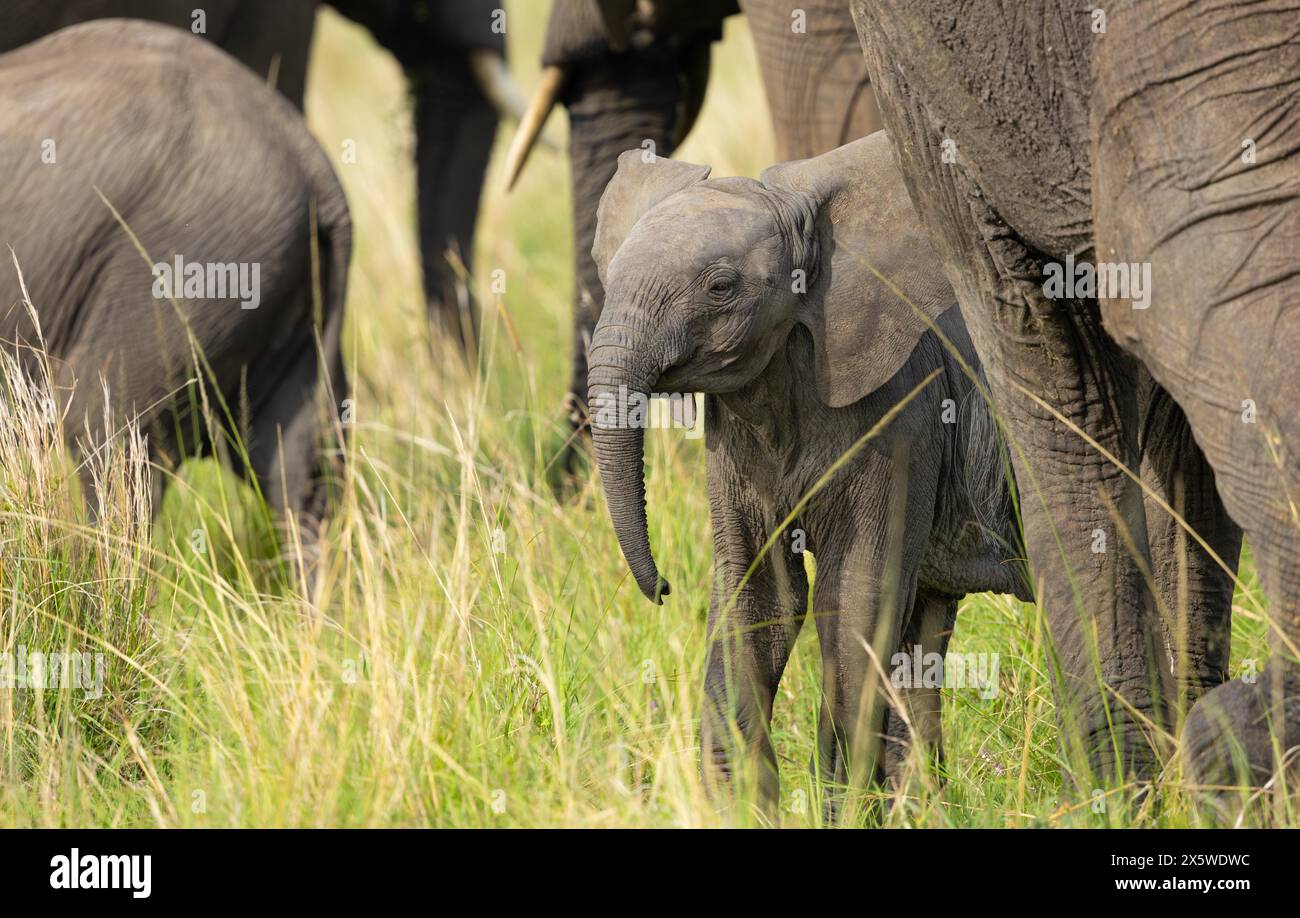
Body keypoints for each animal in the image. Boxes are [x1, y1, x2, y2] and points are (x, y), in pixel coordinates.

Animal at [587, 133, 1031, 808]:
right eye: (608, 279)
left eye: (720, 287)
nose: (662, 589)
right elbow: (760, 596)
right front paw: (740, 808)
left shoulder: (901, 413)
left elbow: (853, 598)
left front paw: (841, 805)